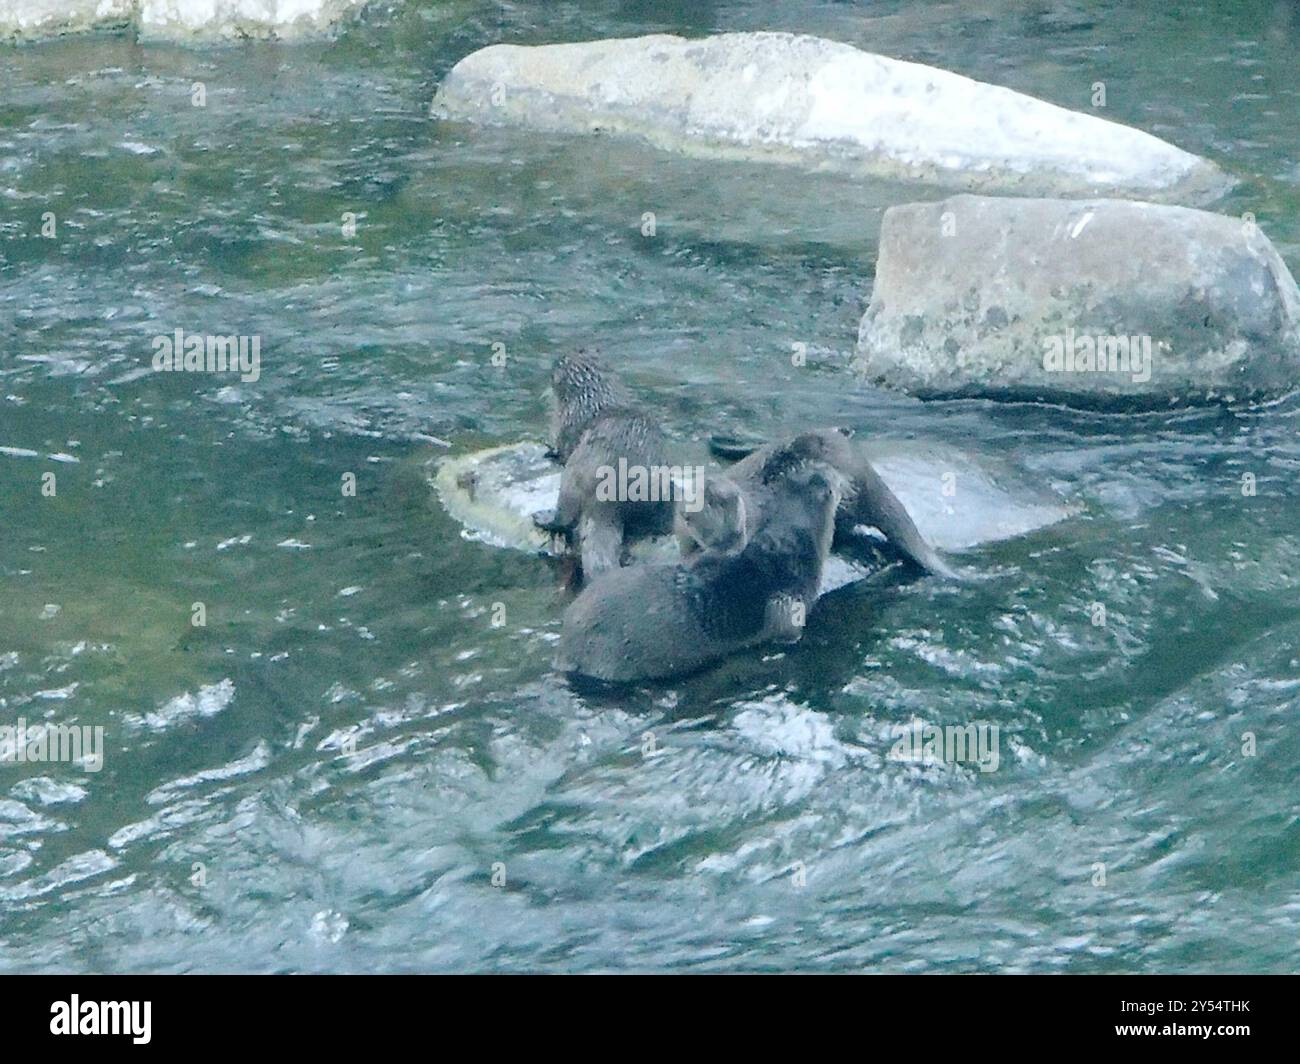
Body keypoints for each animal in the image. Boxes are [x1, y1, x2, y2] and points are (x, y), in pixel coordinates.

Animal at [533, 350, 674, 578]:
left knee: (565, 518)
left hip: (572, 476)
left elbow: (560, 450)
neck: (589, 403)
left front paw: (549, 451)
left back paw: (543, 518)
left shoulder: (565, 430)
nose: (553, 364)